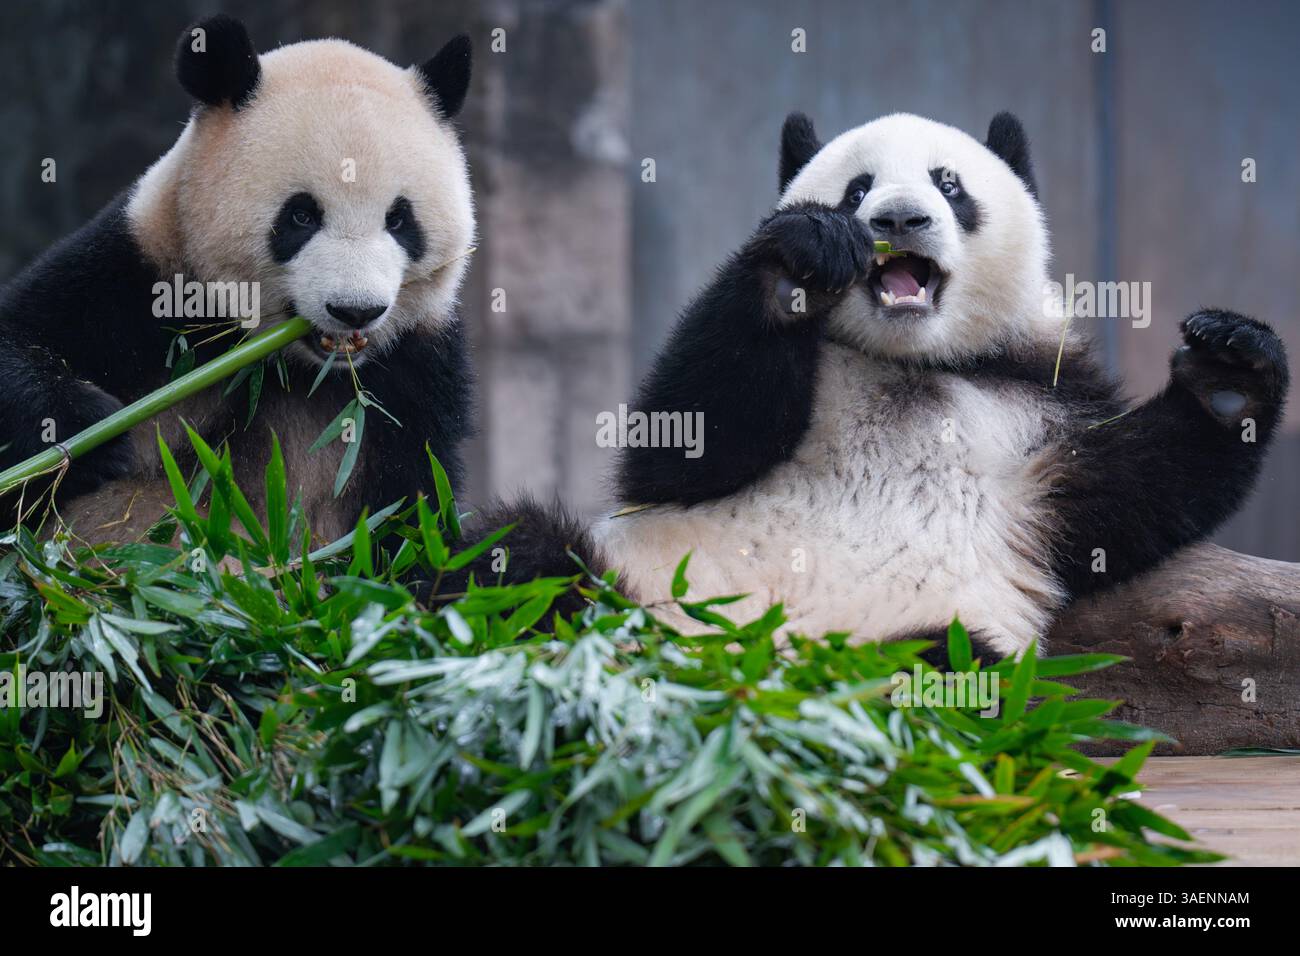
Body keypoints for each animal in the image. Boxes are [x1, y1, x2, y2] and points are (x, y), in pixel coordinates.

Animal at [0, 15, 476, 544]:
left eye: (398, 220)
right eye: (301, 215)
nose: (355, 310)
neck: (298, 371)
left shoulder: (416, 372)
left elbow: (417, 523)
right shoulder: (133, 278)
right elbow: (24, 336)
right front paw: (89, 434)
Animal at [487, 111, 1289, 660]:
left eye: (949, 184)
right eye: (858, 188)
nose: (899, 218)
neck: (913, 362)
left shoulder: (1039, 413)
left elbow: (1130, 493)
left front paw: (1228, 372)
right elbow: (683, 451)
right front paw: (799, 261)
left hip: (934, 637)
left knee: (948, 676)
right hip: (630, 580)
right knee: (514, 561)